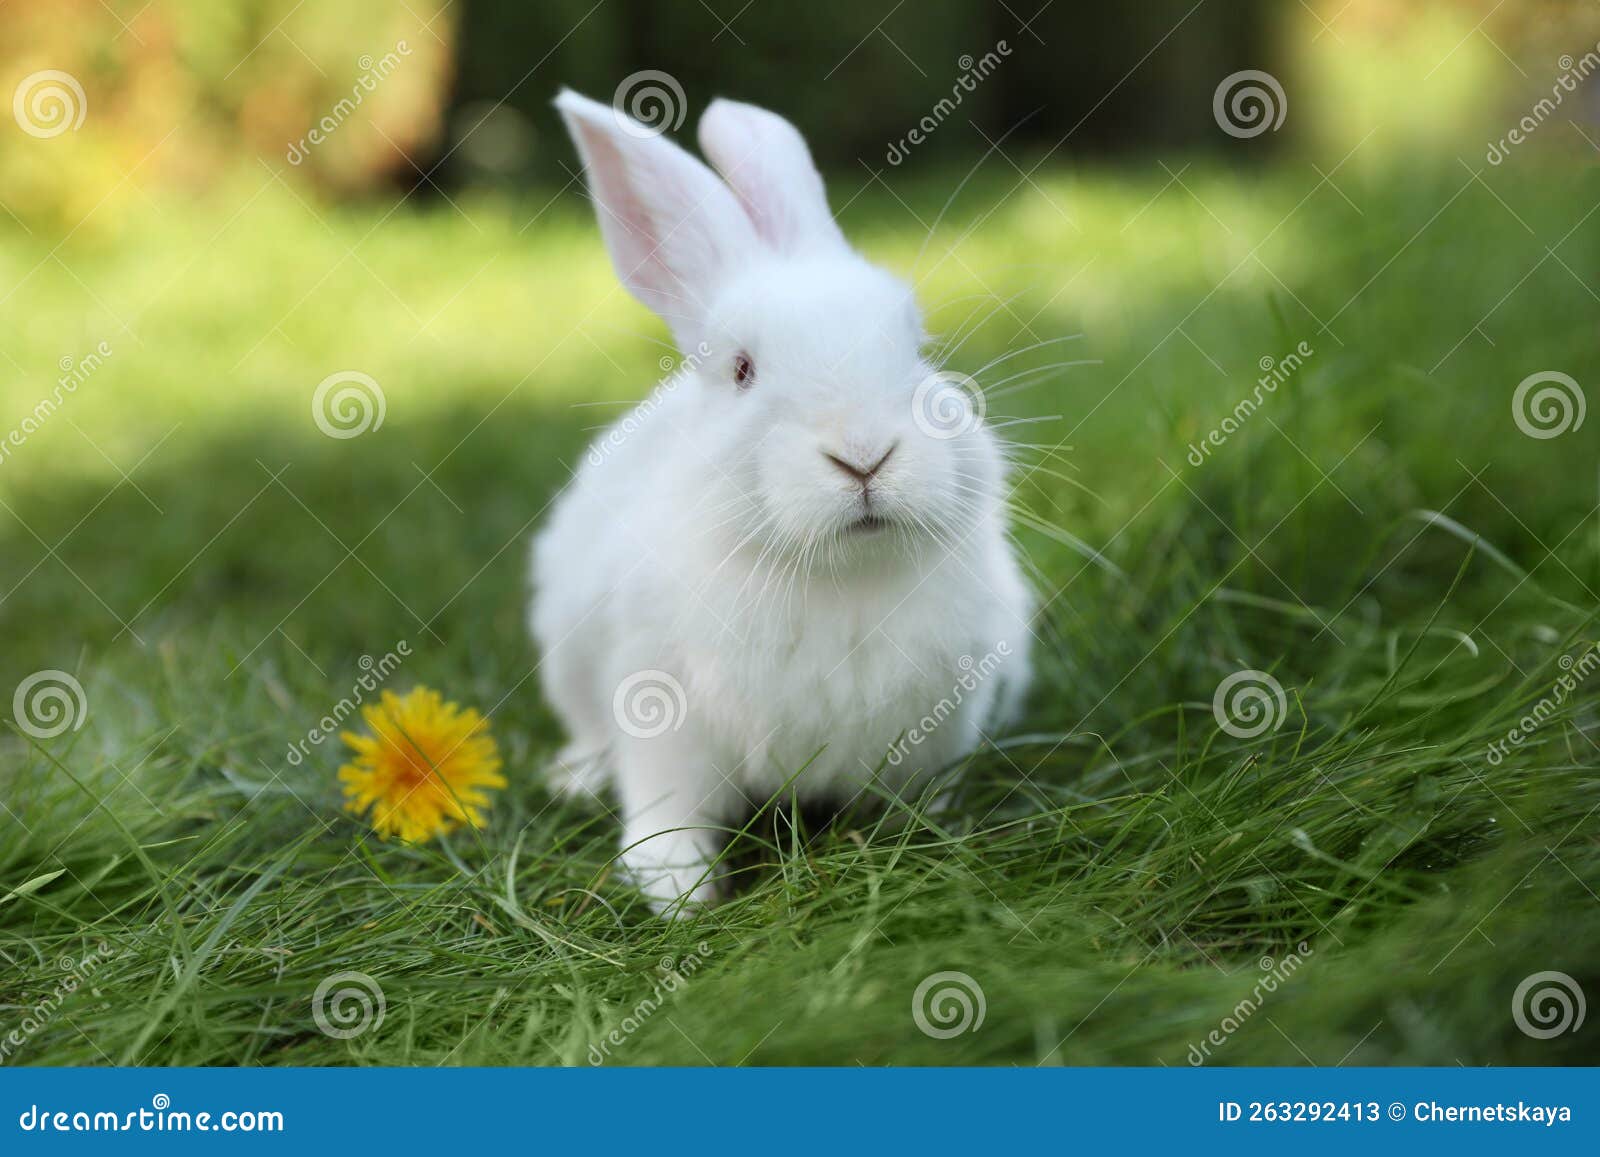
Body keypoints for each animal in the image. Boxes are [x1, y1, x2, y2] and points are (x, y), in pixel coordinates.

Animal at [529, 89, 1033, 915]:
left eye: (917, 346)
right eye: (742, 369)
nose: (863, 454)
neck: (837, 577)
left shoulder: (939, 725)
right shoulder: (664, 715)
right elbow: (668, 807)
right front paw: (676, 890)